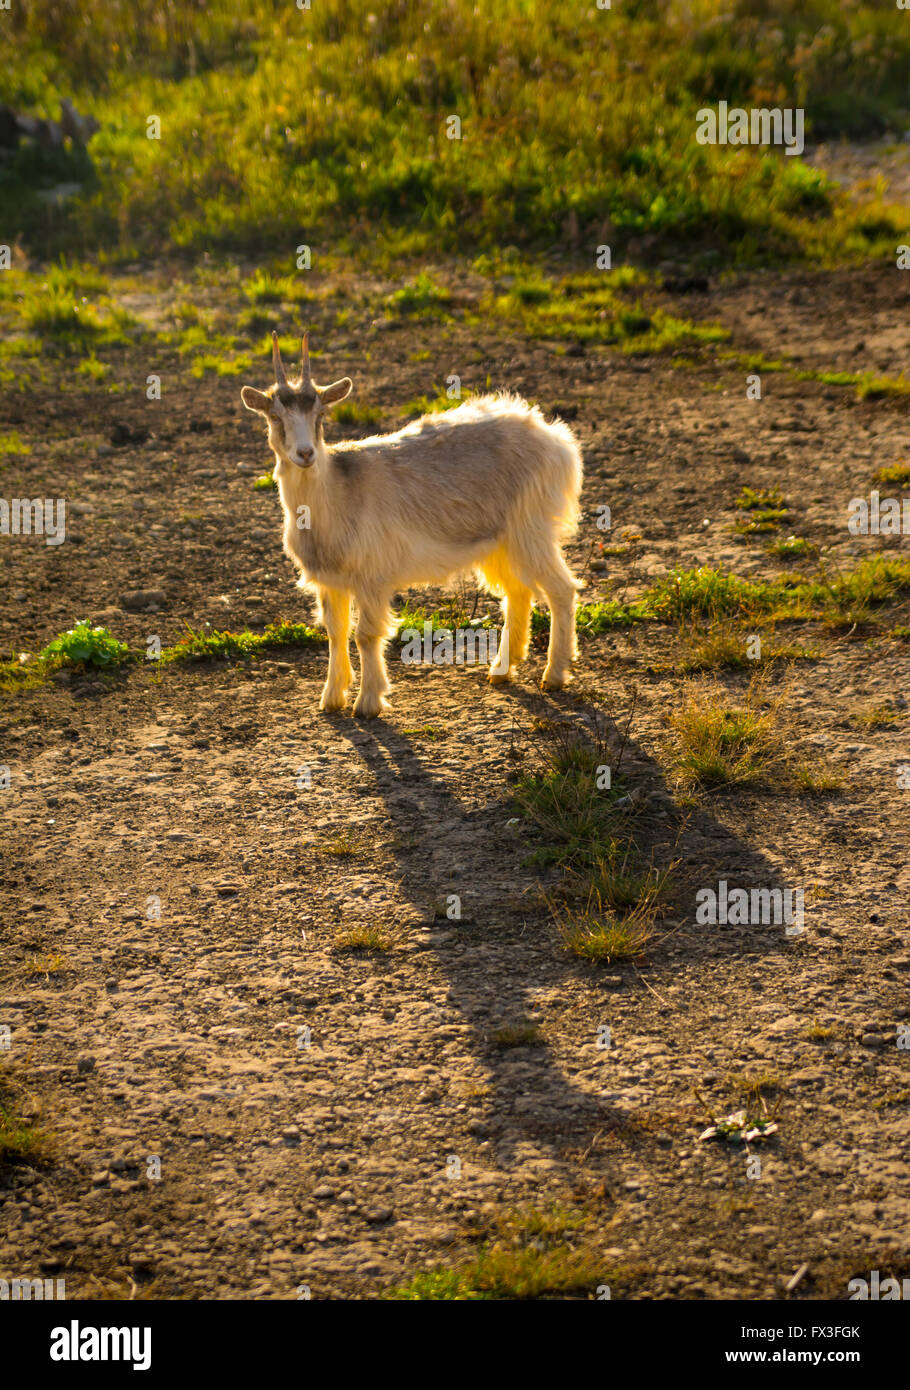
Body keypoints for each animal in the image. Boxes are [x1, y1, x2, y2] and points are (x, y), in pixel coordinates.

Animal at [241, 332, 583, 718]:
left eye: (321, 414)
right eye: (274, 416)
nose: (305, 454)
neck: (336, 494)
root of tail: (556, 438)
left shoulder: (372, 575)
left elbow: (365, 634)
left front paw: (368, 703)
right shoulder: (329, 580)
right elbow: (335, 631)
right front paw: (331, 698)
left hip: (532, 527)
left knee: (561, 589)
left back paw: (554, 675)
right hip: (500, 541)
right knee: (518, 592)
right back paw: (502, 670)